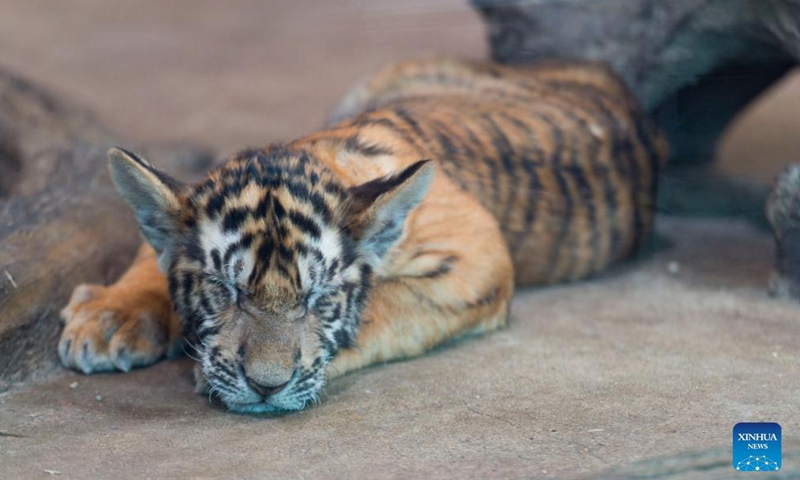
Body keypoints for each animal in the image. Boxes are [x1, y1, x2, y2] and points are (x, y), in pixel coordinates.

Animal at [57, 57, 666, 413]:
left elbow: (384, 305)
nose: (266, 387)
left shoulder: (478, 253)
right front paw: (107, 318)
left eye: (318, 299)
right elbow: (150, 255)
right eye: (225, 293)